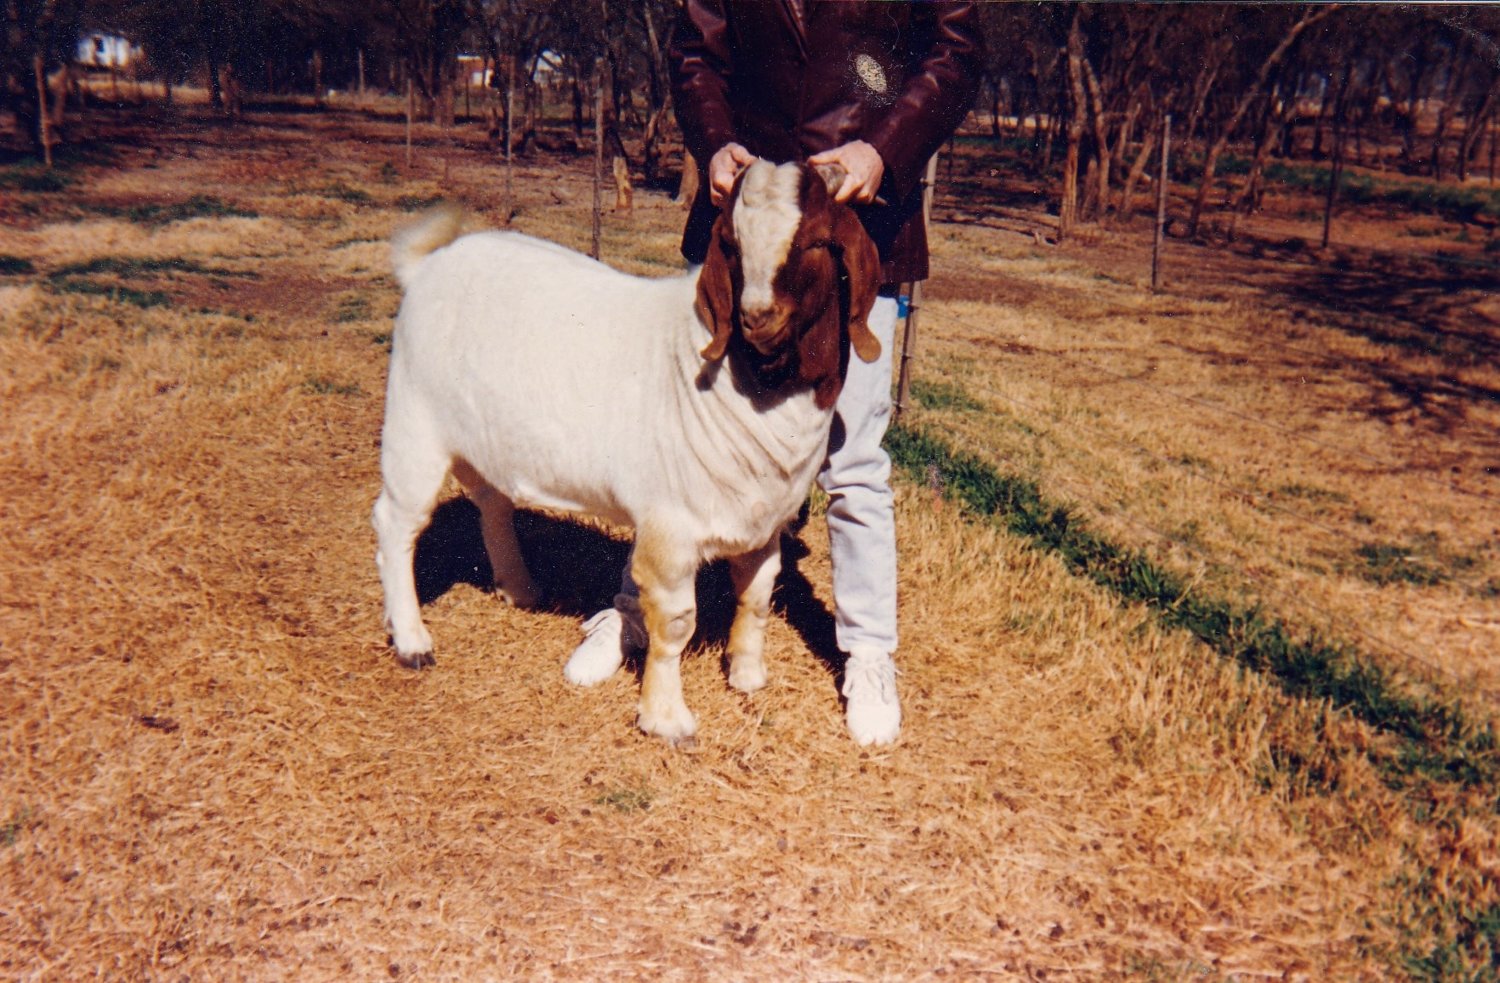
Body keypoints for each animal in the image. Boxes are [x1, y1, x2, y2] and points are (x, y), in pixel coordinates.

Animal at [373, 159, 881, 741]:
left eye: (817, 240)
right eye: (729, 243)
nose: (757, 317)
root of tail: (425, 267)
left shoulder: (762, 520)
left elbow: (756, 596)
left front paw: (748, 674)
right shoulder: (670, 529)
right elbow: (676, 622)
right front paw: (666, 718)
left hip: (483, 439)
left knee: (493, 503)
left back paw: (520, 589)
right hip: (414, 421)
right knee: (396, 523)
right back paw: (413, 641)